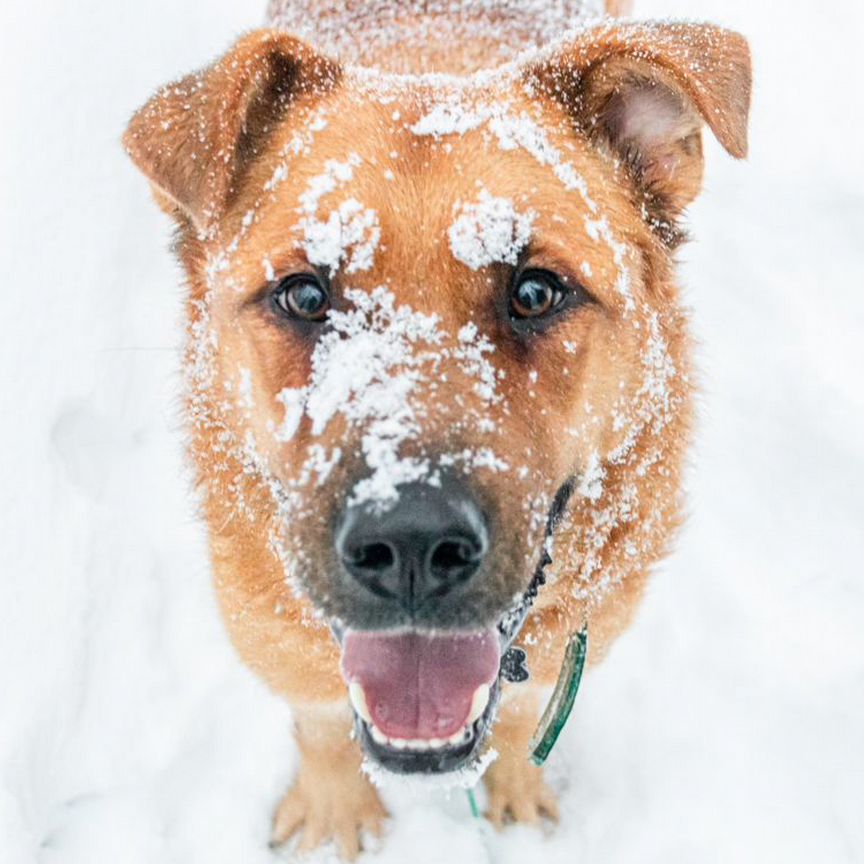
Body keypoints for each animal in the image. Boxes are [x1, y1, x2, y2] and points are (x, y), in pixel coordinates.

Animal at [123, 1, 748, 856]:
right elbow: (322, 722)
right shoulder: (272, 635)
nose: (410, 545)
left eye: (537, 291)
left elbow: (517, 718)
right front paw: (336, 812)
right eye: (304, 295)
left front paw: (513, 792)